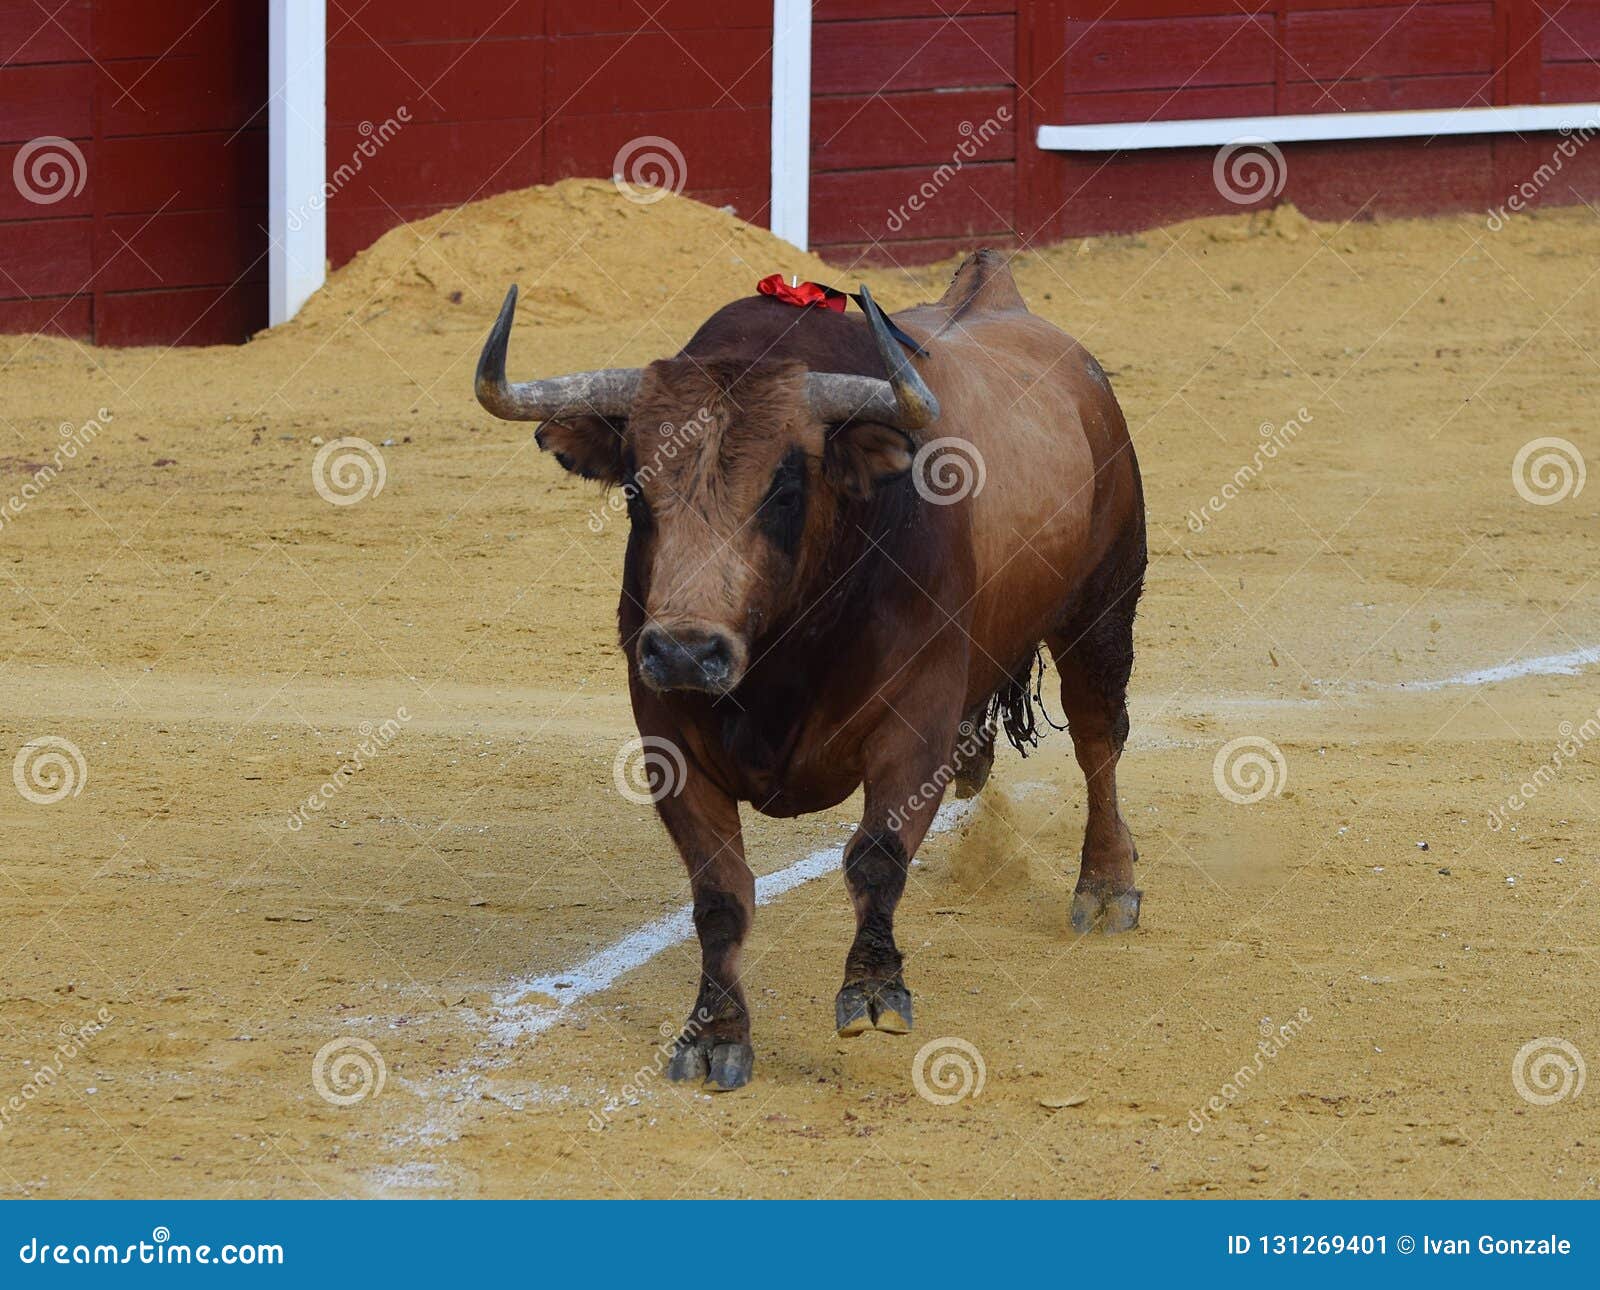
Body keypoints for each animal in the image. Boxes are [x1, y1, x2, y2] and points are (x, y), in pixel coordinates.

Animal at [475, 251, 1146, 1090]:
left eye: (786, 489)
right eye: (634, 489)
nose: (687, 651)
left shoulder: (914, 721)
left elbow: (876, 855)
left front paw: (874, 989)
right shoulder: (668, 737)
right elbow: (720, 892)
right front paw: (714, 1033)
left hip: (1104, 607)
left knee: (1098, 739)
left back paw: (1107, 886)